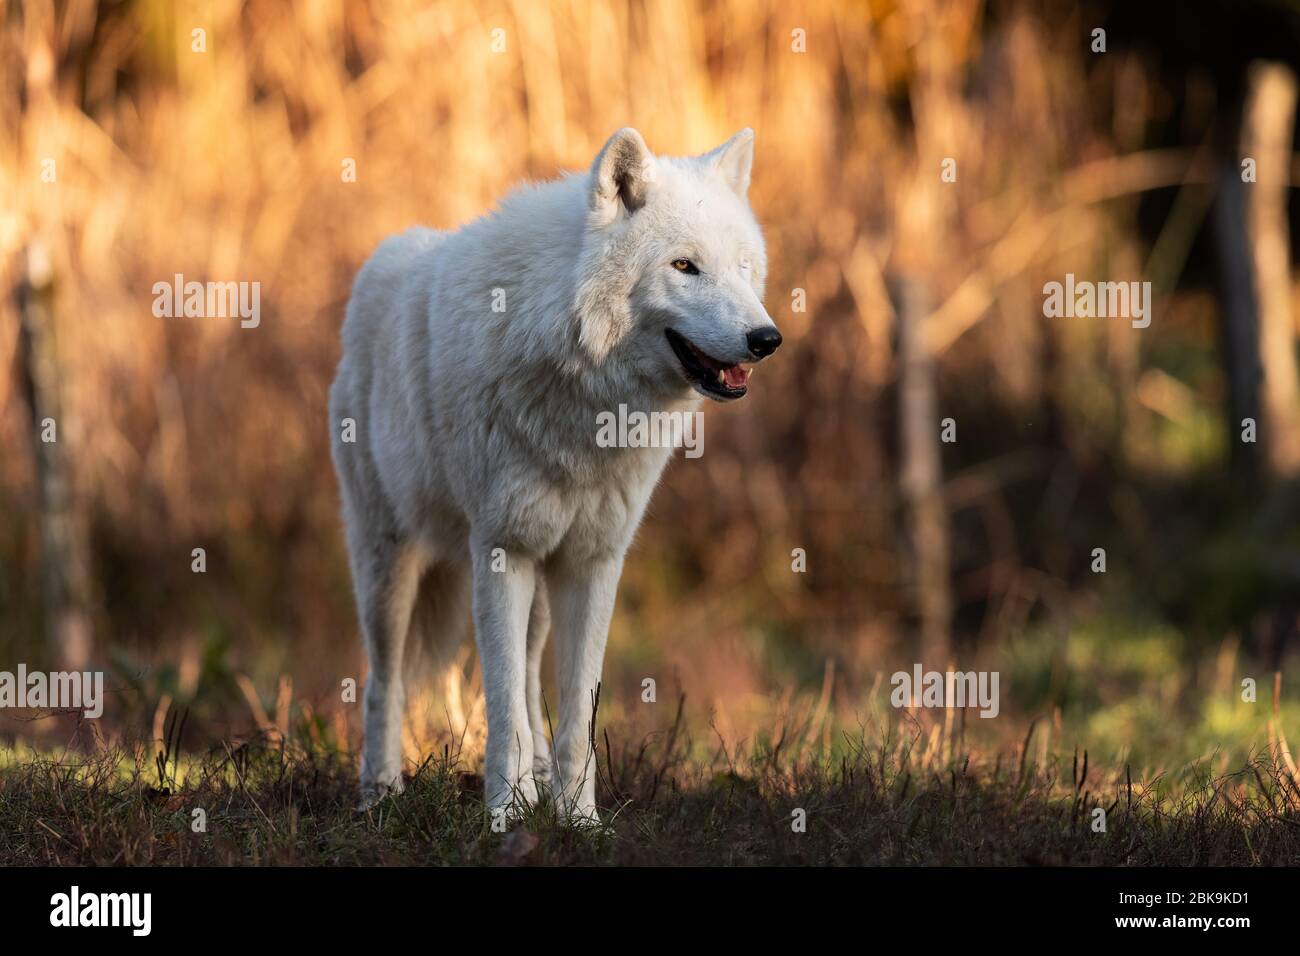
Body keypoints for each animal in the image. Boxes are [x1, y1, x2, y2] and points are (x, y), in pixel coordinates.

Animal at [329, 127, 781, 818]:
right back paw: (379, 794)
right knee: (386, 681)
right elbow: (503, 707)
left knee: (528, 672)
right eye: (685, 266)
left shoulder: (592, 561)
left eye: (742, 267)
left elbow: (574, 712)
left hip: (538, 580)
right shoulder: (500, 552)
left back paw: (538, 782)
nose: (766, 338)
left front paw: (577, 817)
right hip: (387, 566)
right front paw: (505, 816)